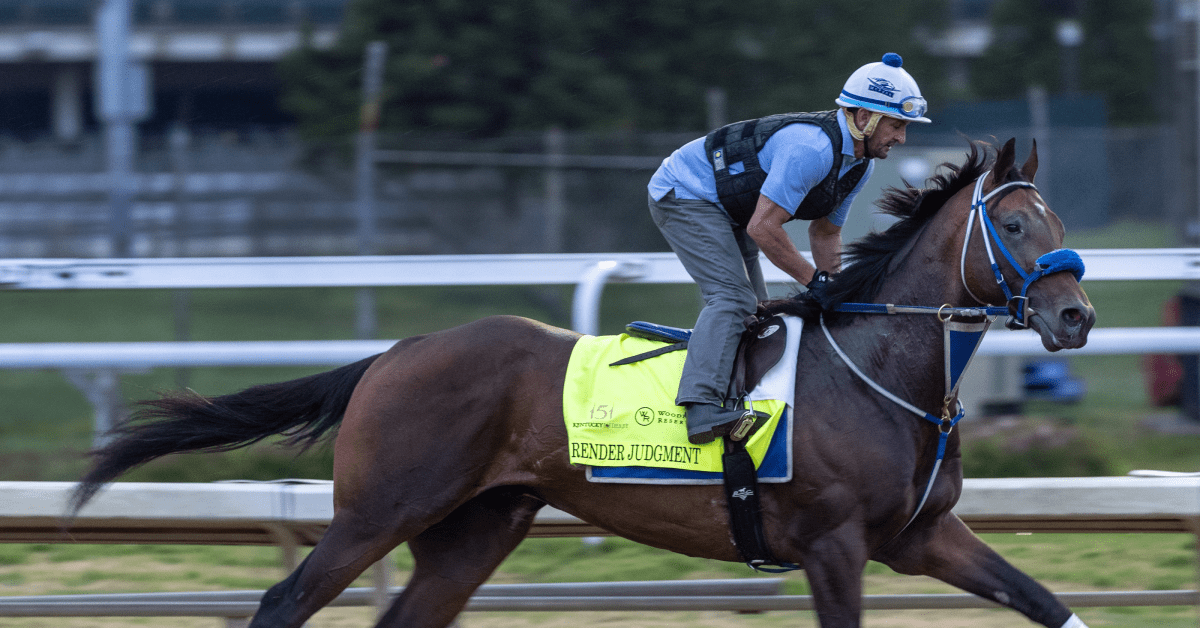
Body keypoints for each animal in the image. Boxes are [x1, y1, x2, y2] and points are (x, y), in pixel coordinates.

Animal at [70, 137, 1095, 628]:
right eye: (1013, 226)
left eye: (1058, 219)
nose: (1076, 317)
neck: (879, 370)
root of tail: (397, 353)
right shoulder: (833, 546)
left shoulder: (921, 538)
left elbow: (1048, 604)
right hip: (377, 512)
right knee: (282, 604)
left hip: (477, 528)